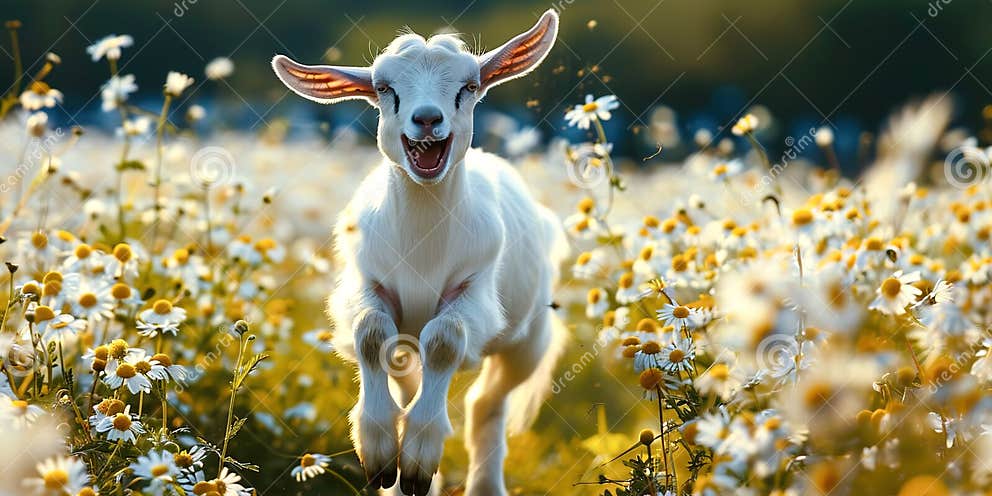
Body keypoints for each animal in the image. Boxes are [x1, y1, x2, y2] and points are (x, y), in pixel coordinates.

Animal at [272, 10, 567, 496]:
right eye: (384, 87)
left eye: (468, 86)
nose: (427, 118)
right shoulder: (363, 282)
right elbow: (371, 332)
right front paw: (379, 454)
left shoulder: (477, 290)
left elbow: (445, 340)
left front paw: (418, 458)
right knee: (413, 381)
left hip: (528, 339)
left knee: (487, 403)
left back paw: (478, 483)